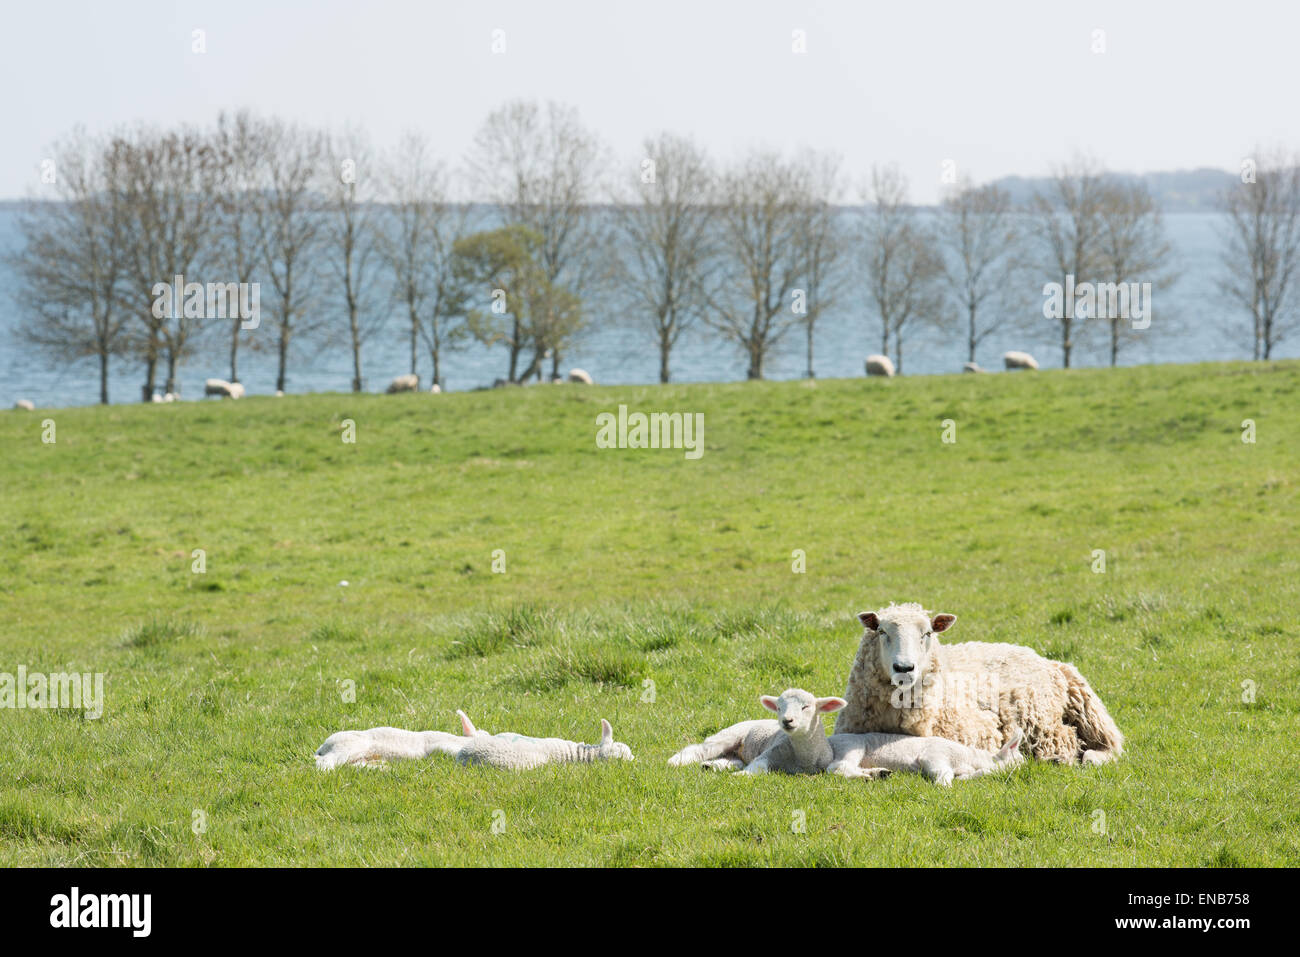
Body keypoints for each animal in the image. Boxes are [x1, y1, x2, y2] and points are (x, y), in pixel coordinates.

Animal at [835, 602, 1124, 765]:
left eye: (927, 633)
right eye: (882, 631)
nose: (904, 668)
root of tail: (1047, 660)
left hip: (1046, 719)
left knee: (1076, 741)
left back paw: (1081, 758)